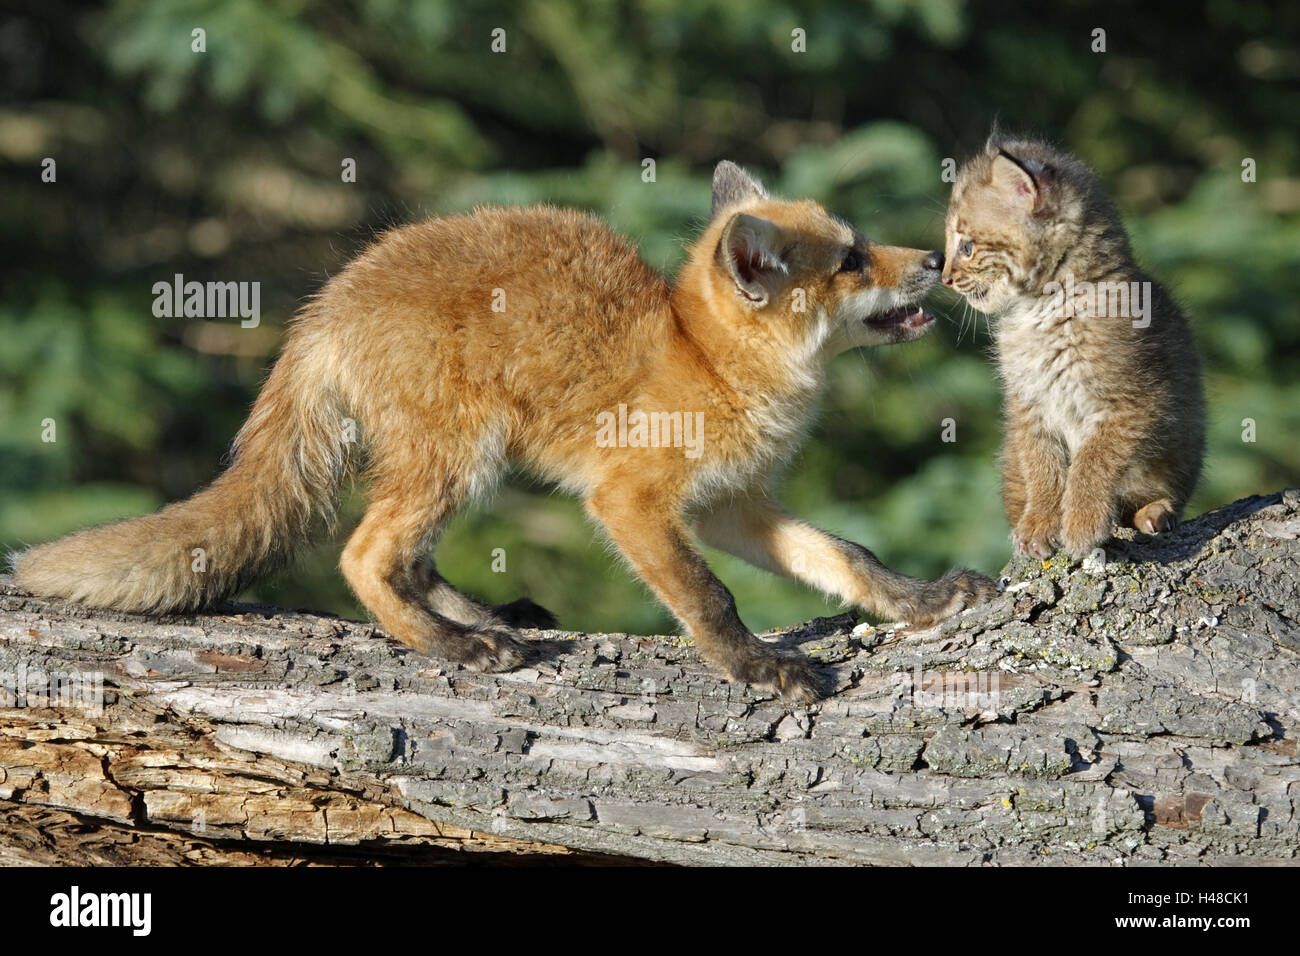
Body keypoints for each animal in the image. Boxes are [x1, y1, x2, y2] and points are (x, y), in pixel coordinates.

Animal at [13, 161, 996, 703]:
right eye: (853, 259)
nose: (937, 258)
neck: (705, 357)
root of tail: (324, 305)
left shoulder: (733, 506)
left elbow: (849, 558)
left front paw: (923, 600)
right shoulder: (630, 501)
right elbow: (709, 599)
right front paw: (757, 668)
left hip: (455, 471)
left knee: (408, 564)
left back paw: (488, 619)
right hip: (460, 458)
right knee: (363, 559)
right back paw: (459, 645)